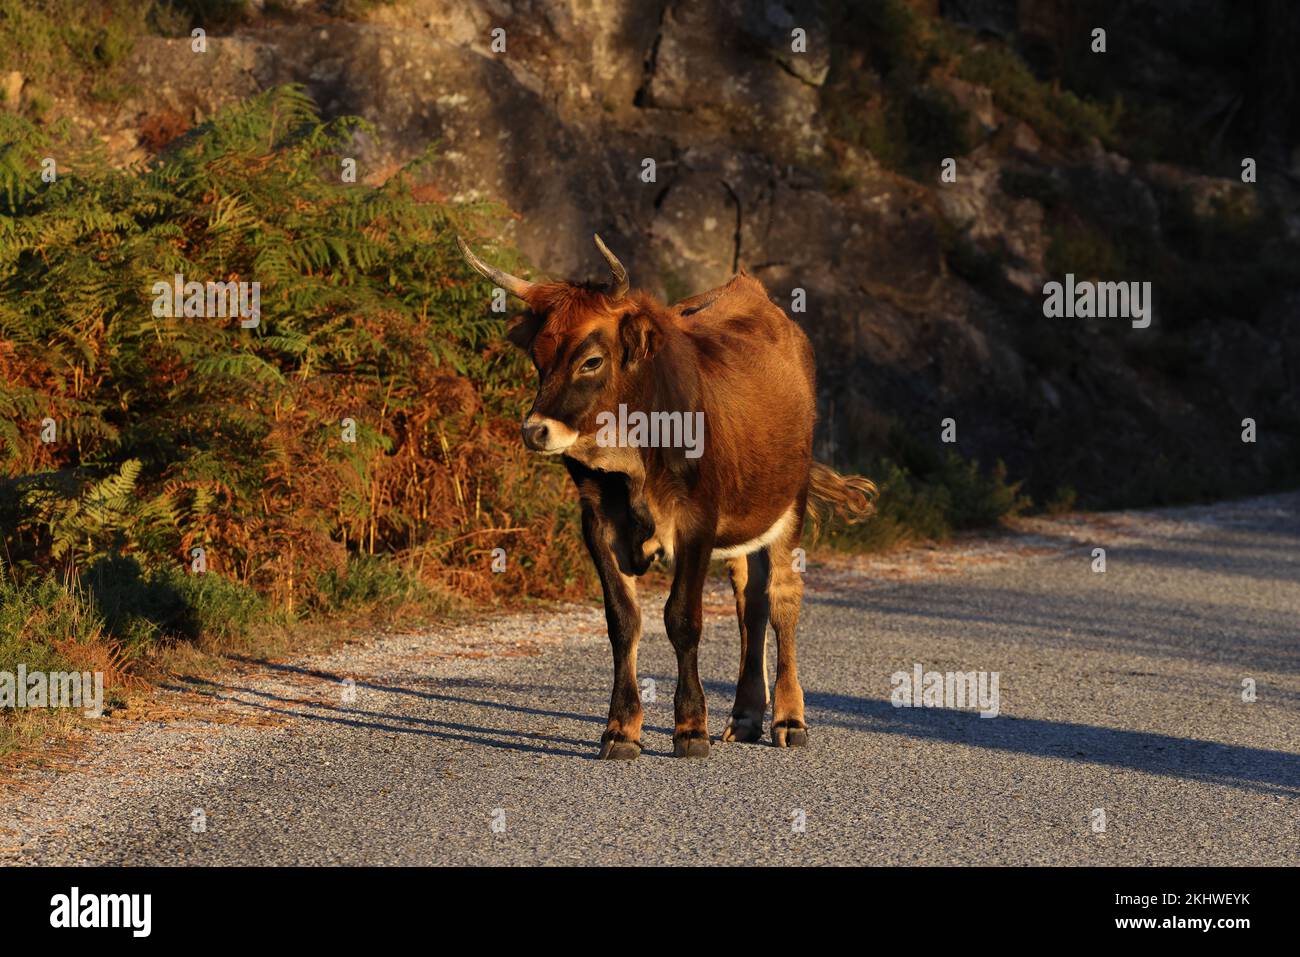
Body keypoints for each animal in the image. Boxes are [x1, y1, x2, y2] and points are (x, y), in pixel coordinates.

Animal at [459, 234, 875, 759]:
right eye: (538, 357)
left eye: (591, 360)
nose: (536, 430)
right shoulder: (597, 521)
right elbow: (623, 622)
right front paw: (621, 729)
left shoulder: (697, 521)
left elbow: (682, 619)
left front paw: (690, 727)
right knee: (750, 602)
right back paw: (744, 716)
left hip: (789, 505)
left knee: (783, 600)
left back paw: (789, 718)